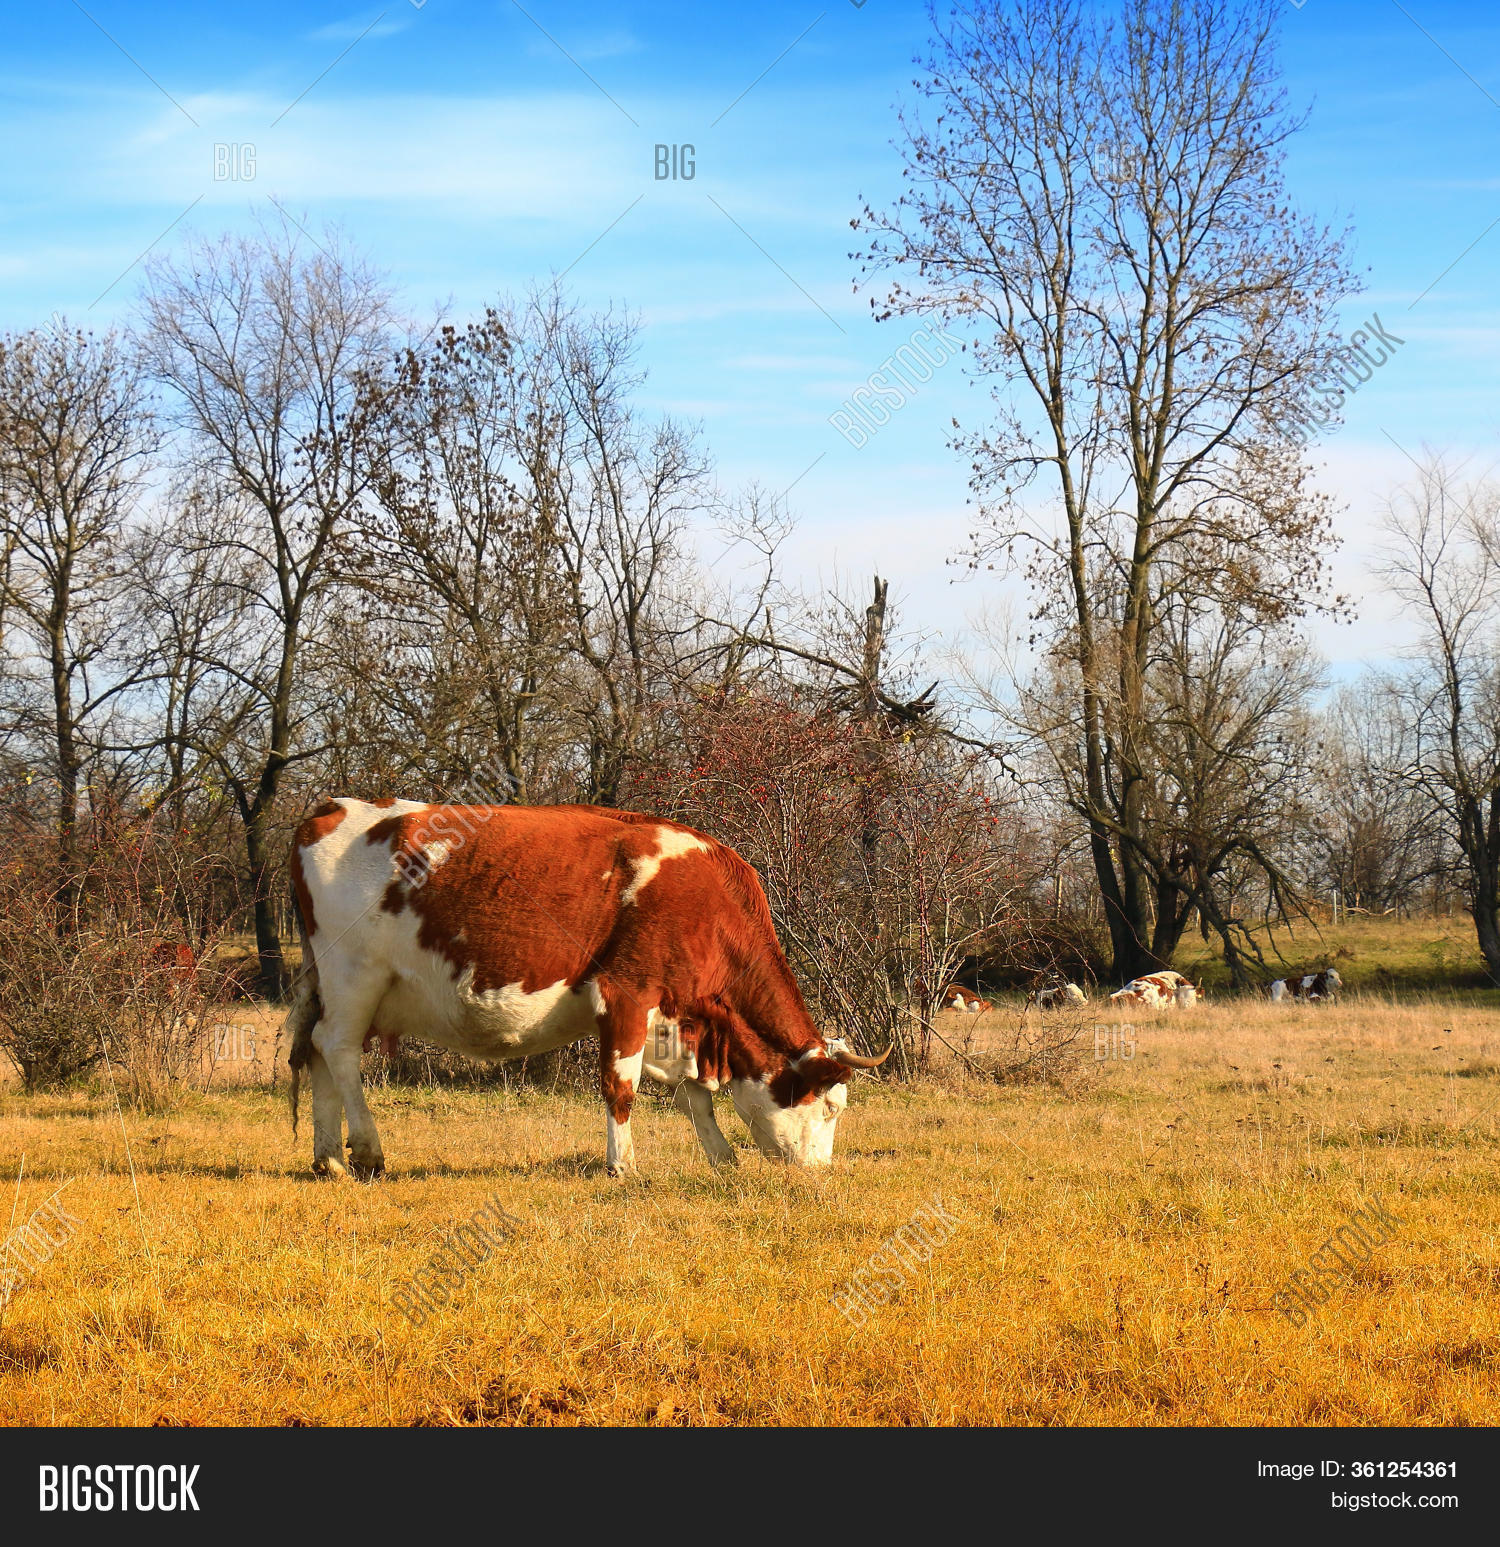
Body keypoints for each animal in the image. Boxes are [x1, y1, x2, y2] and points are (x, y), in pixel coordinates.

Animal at [283, 798, 887, 1179]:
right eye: (829, 1106)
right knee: (338, 1050)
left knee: (315, 1051)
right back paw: (366, 1151)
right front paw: (623, 1165)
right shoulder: (627, 994)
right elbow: (621, 1087)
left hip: (332, 986)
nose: (820, 1173)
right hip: (353, 977)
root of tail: (334, 806)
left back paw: (328, 1157)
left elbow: (695, 1098)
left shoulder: (679, 1017)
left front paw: (722, 1159)